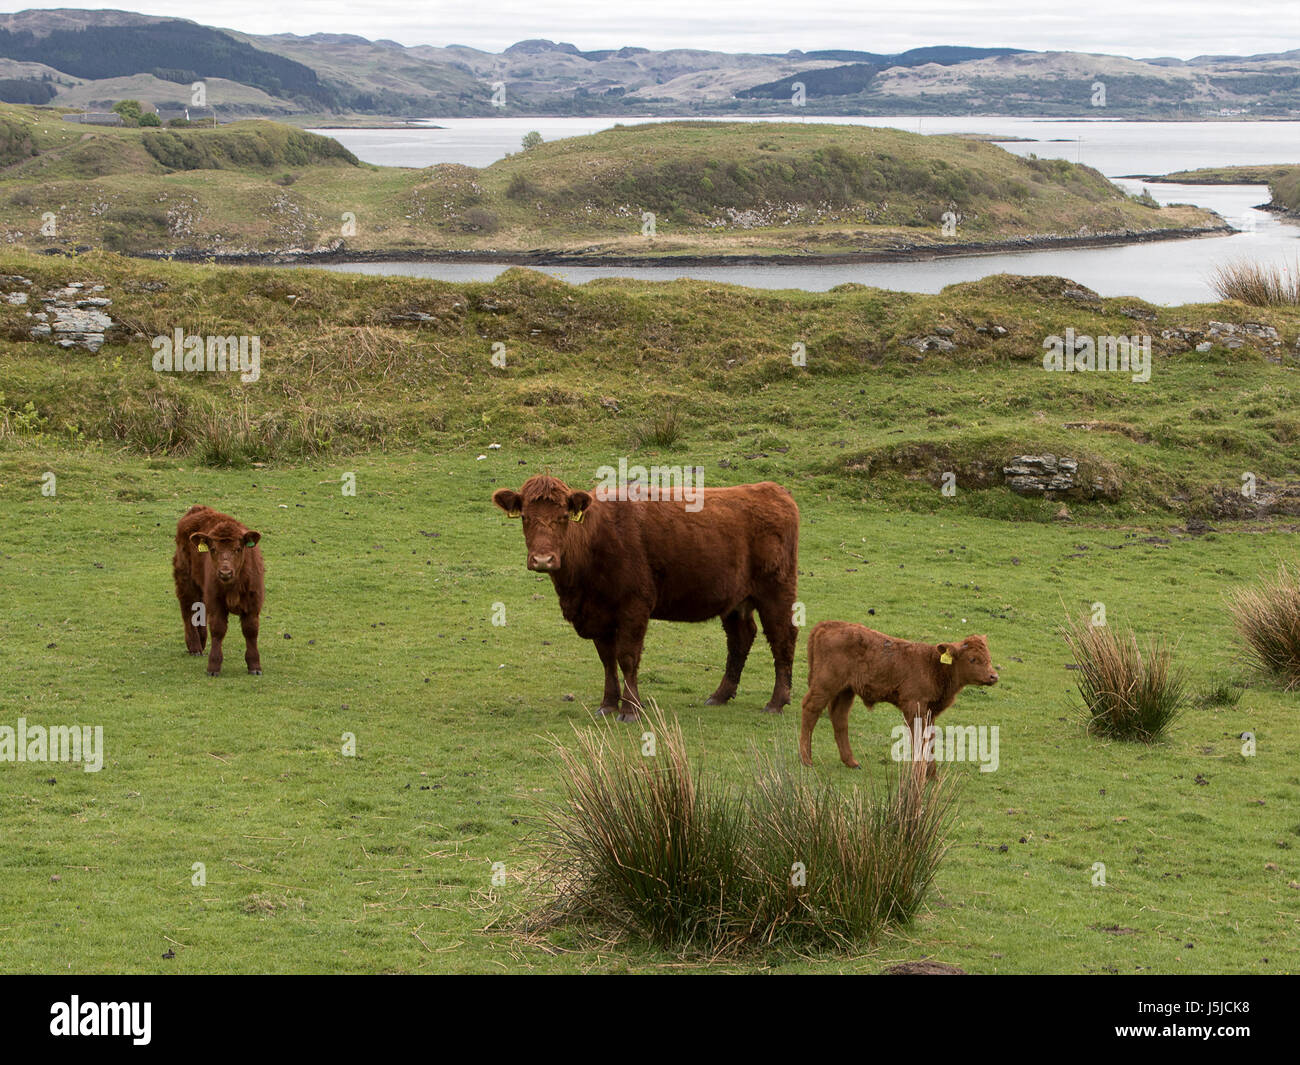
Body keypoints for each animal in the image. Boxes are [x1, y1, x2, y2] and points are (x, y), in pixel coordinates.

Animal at [172, 505, 265, 677]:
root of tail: (198, 509)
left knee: (199, 608)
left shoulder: (253, 602)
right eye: (213, 549)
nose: (225, 572)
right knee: (187, 609)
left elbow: (250, 630)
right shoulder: (216, 601)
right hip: (185, 579)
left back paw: (202, 640)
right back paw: (195, 646)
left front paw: (254, 665)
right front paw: (213, 666)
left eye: (238, 549)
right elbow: (218, 629)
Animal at [492, 474, 799, 721]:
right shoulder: (599, 614)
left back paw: (776, 702)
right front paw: (608, 704)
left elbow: (627, 657)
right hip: (736, 600)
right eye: (525, 517)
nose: (543, 559)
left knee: (783, 638)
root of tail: (772, 490)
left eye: (564, 517)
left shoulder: (634, 606)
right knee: (740, 639)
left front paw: (630, 709)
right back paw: (720, 695)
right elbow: (607, 660)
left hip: (777, 590)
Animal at [799, 622, 997, 776]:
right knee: (811, 709)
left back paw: (851, 762)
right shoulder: (914, 707)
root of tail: (828, 624)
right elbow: (919, 738)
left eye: (989, 657)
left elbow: (930, 738)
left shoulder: (930, 711)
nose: (993, 676)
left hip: (845, 690)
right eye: (972, 659)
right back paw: (806, 759)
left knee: (839, 717)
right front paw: (919, 773)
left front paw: (932, 775)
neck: (933, 666)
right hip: (825, 684)